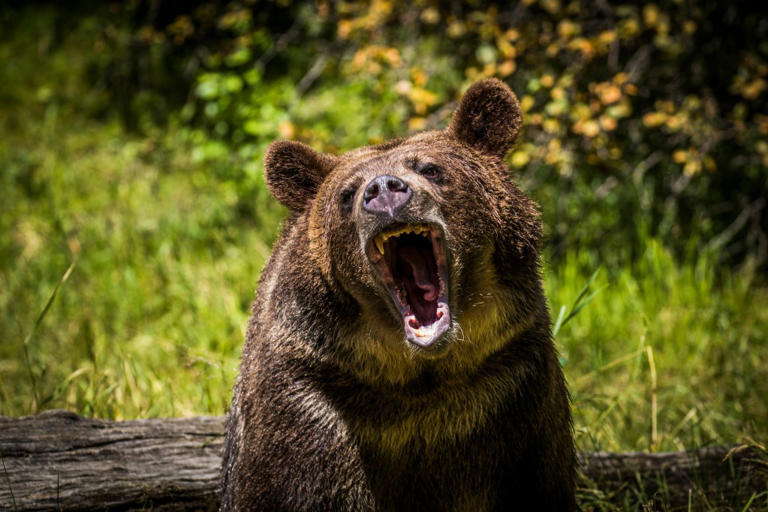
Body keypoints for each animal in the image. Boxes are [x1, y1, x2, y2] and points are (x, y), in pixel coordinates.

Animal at [220, 78, 576, 511]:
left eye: (431, 169)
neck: (415, 377)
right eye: (347, 194)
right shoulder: (309, 406)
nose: (384, 190)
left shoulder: (512, 395)